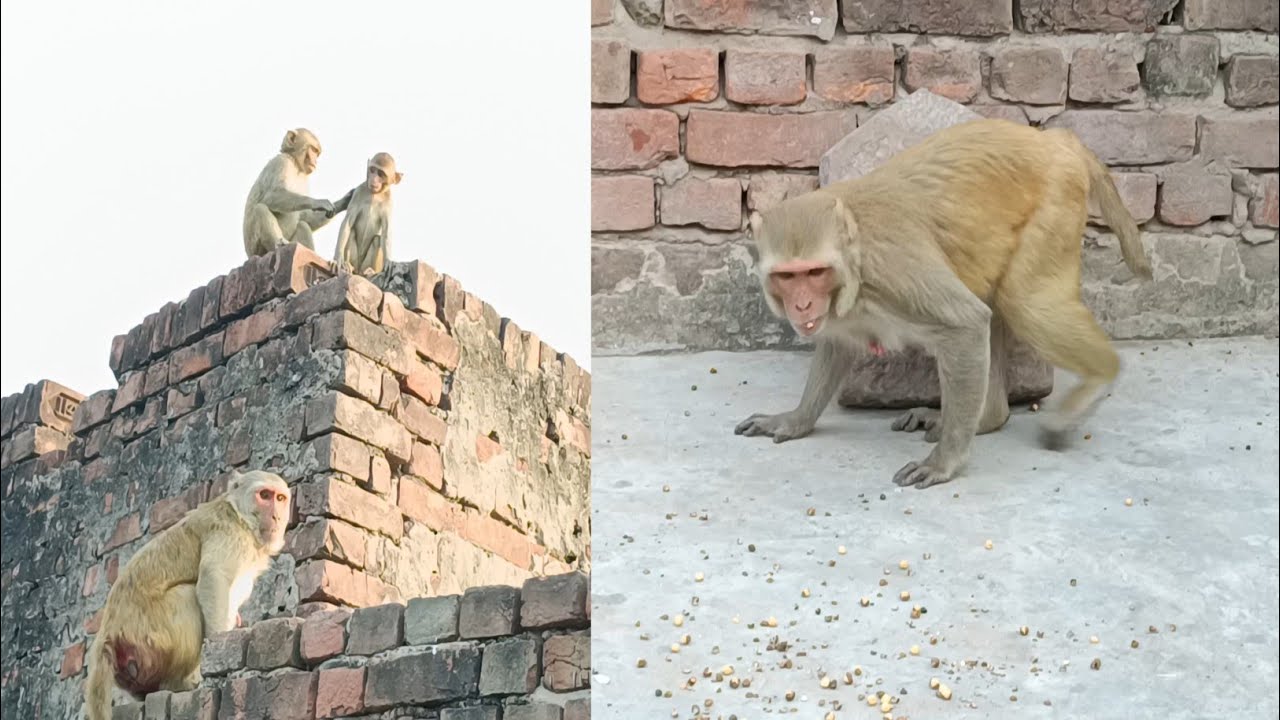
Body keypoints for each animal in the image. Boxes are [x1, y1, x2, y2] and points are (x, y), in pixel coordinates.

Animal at [83, 470, 290, 720]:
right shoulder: (228, 533)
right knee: (187, 595)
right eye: (265, 495)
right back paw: (178, 683)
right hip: (150, 636)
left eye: (280, 498)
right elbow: (213, 576)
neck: (239, 515)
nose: (276, 516)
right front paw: (219, 647)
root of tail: (108, 633)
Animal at [243, 128, 341, 257]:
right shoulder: (281, 162)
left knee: (303, 225)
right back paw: (279, 244)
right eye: (313, 150)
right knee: (260, 209)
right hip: (255, 248)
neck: (295, 164)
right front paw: (319, 202)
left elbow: (306, 218)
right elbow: (272, 196)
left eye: (317, 152)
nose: (315, 161)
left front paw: (344, 201)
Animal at [734, 118, 1150, 489]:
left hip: (1056, 202)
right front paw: (796, 419)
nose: (803, 304)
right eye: (787, 277)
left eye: (814, 272)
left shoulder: (892, 269)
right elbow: (839, 344)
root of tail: (1055, 141)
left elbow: (966, 323)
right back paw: (989, 417)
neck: (853, 248)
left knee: (1024, 303)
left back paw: (1100, 376)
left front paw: (944, 464)